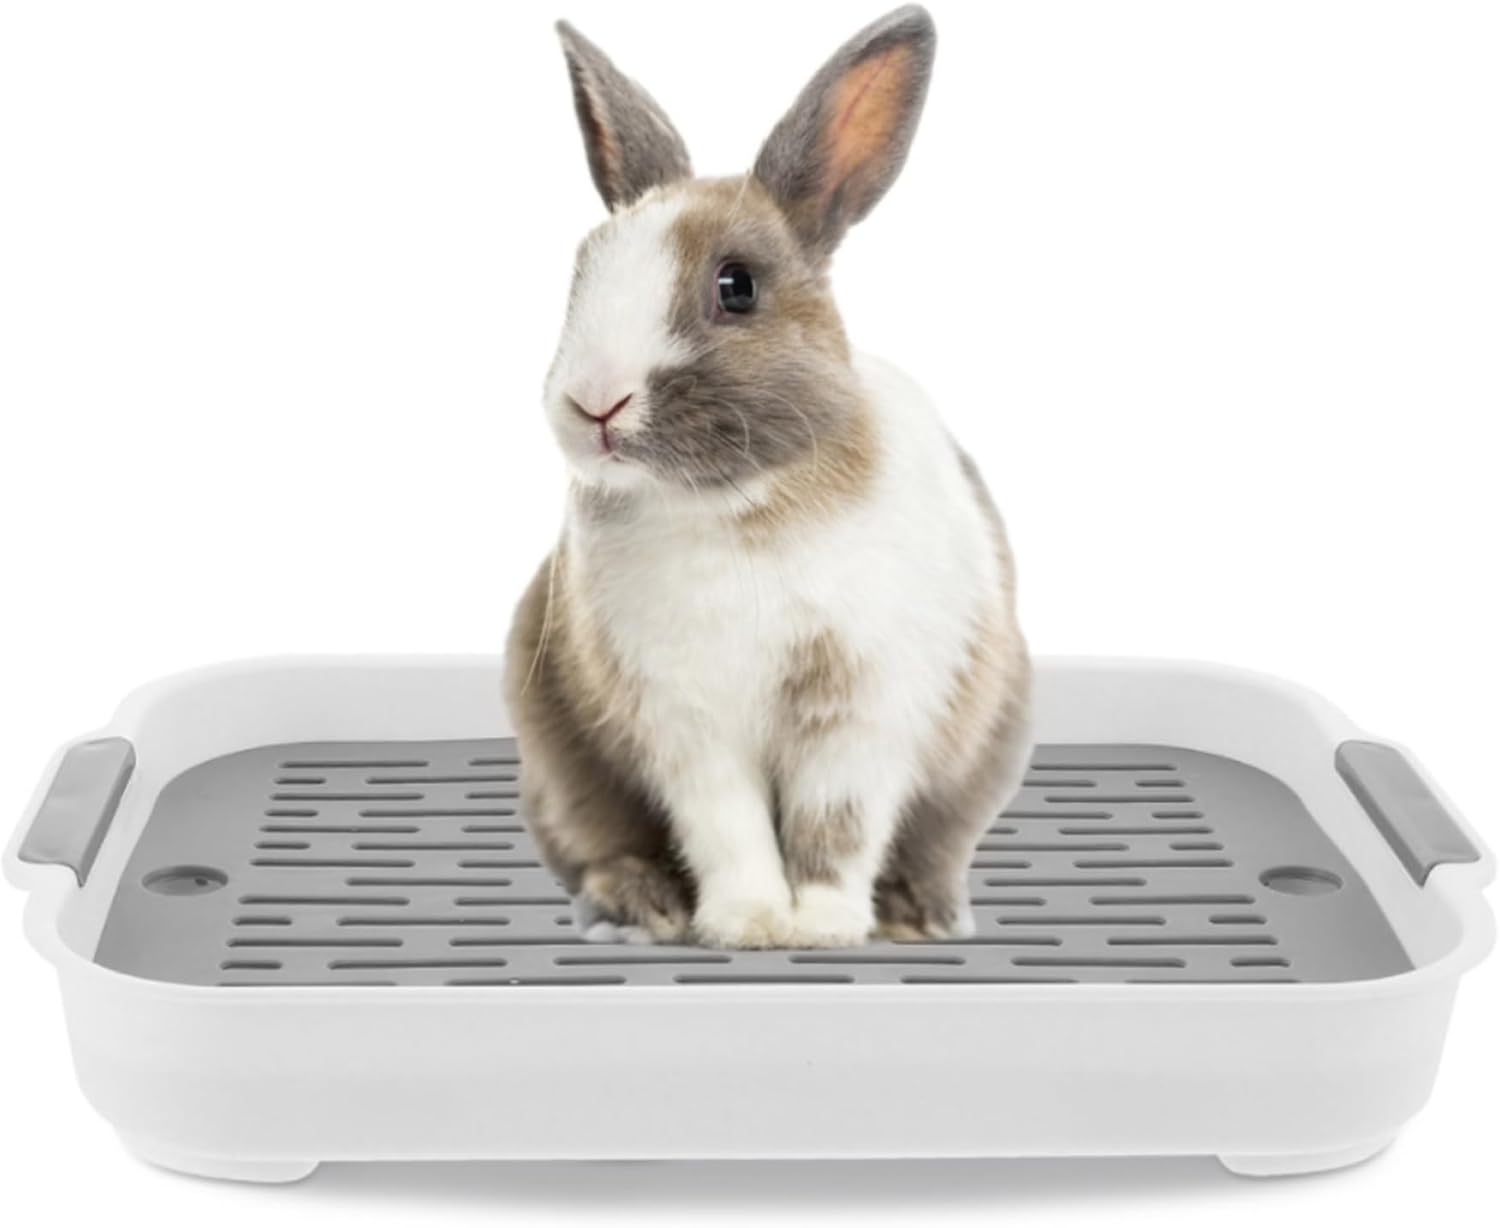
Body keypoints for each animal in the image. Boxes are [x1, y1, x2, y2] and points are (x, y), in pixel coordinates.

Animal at [505, 5, 1031, 950]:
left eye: (736, 287)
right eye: (581, 273)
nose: (594, 403)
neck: (738, 506)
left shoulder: (860, 713)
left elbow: (836, 826)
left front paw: (820, 926)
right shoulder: (687, 725)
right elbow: (729, 827)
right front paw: (749, 923)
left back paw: (921, 915)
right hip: (558, 767)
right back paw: (643, 905)